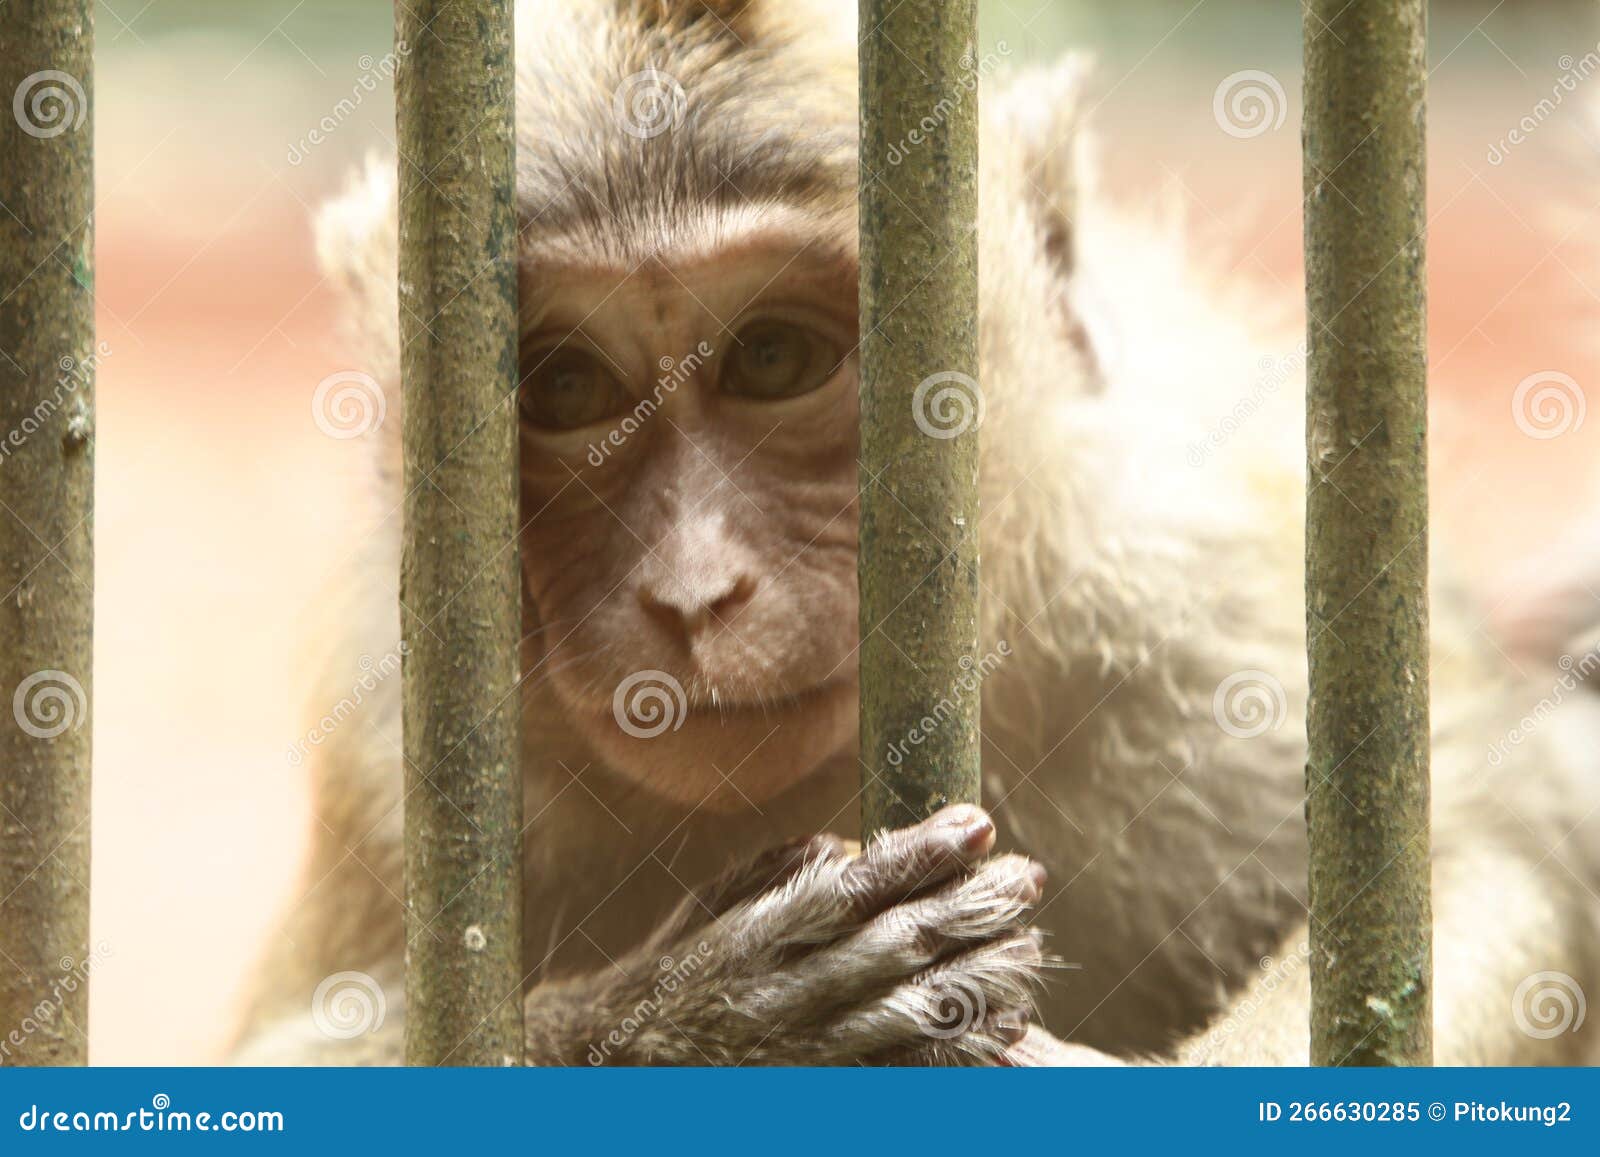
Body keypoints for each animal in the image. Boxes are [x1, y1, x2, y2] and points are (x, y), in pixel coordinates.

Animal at [232, 0, 1600, 1065]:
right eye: (565, 386)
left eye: (775, 359)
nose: (693, 592)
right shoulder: (396, 748)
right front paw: (695, 1021)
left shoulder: (1200, 591)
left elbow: (1481, 862)